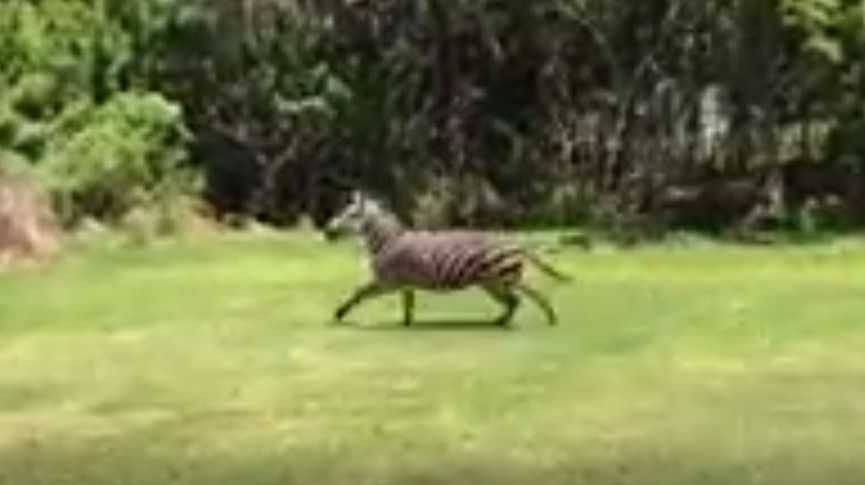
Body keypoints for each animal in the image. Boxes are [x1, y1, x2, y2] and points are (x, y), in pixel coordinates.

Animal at [323, 190, 571, 327]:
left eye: (351, 215)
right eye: (344, 213)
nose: (327, 231)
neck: (386, 241)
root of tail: (518, 244)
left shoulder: (388, 282)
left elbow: (358, 293)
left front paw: (338, 313)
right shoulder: (403, 284)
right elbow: (408, 304)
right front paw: (406, 323)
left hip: (503, 279)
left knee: (526, 296)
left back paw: (539, 318)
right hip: (494, 282)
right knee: (517, 300)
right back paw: (507, 321)